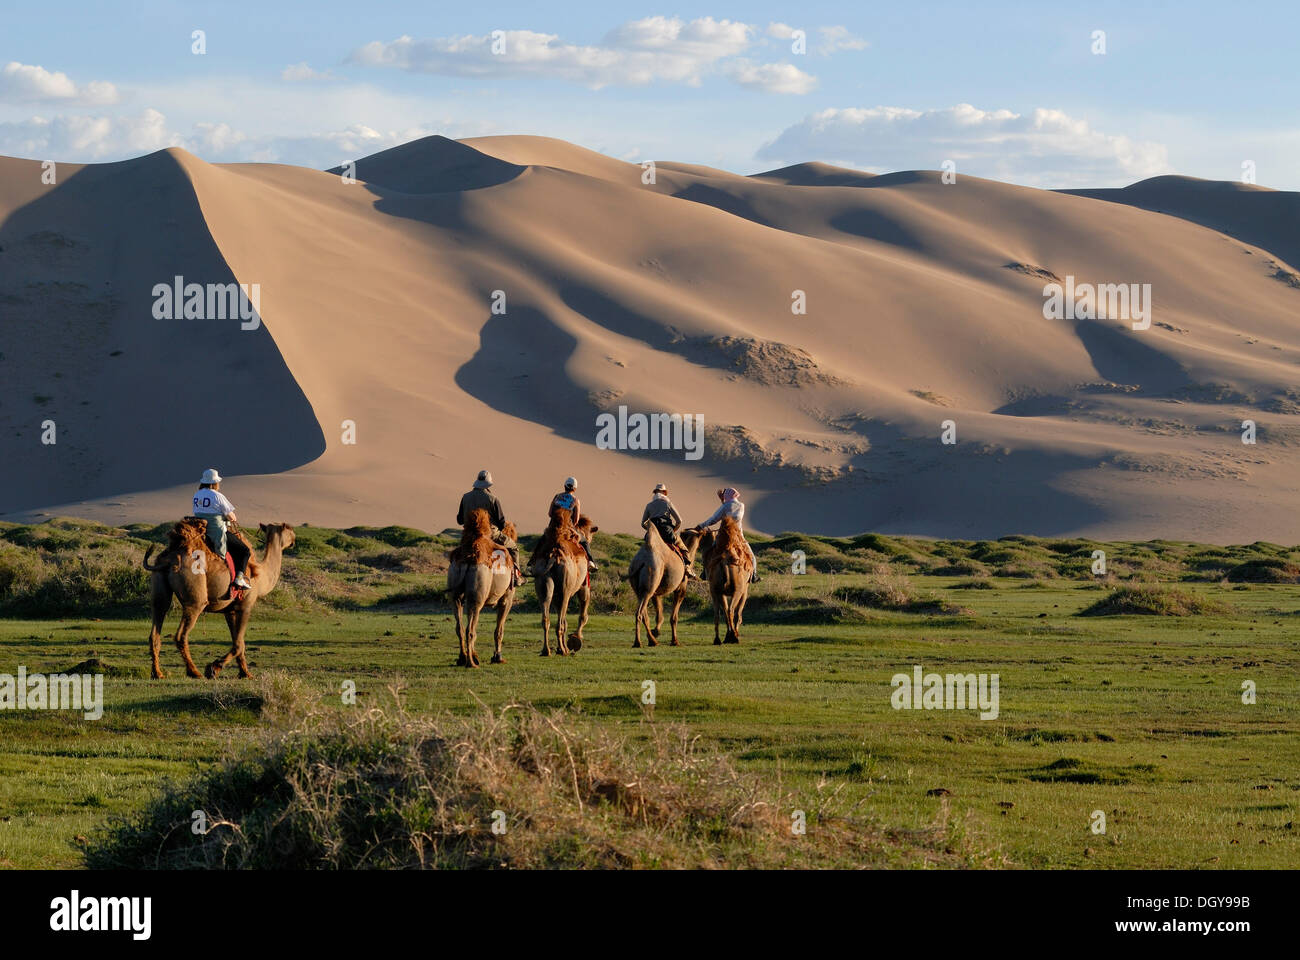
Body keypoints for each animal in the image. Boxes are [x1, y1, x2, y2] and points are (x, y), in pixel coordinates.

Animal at [142, 520, 296, 679]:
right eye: (289, 529)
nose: (294, 540)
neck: (260, 576)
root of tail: (169, 559)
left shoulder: (230, 610)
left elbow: (239, 642)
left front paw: (245, 673)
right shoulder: (245, 607)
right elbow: (238, 644)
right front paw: (213, 668)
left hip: (159, 586)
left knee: (157, 620)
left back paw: (157, 673)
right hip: (195, 596)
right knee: (181, 633)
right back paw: (194, 672)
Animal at [446, 510, 517, 667]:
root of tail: (468, 558)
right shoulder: (507, 598)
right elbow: (499, 630)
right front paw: (498, 657)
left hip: (455, 593)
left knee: (460, 627)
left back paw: (463, 658)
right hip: (477, 596)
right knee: (470, 629)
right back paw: (471, 662)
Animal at [531, 506, 598, 657]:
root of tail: (553, 555)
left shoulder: (556, 597)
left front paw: (565, 645)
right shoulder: (584, 586)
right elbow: (583, 615)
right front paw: (575, 641)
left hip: (543, 585)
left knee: (546, 618)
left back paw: (547, 650)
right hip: (565, 589)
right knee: (560, 622)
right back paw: (562, 650)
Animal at [697, 516, 752, 645]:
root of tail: (724, 562)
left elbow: (726, 611)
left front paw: (729, 634)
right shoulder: (744, 591)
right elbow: (738, 613)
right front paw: (734, 634)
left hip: (717, 589)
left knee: (721, 612)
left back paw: (721, 638)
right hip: (735, 590)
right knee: (730, 610)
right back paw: (732, 637)